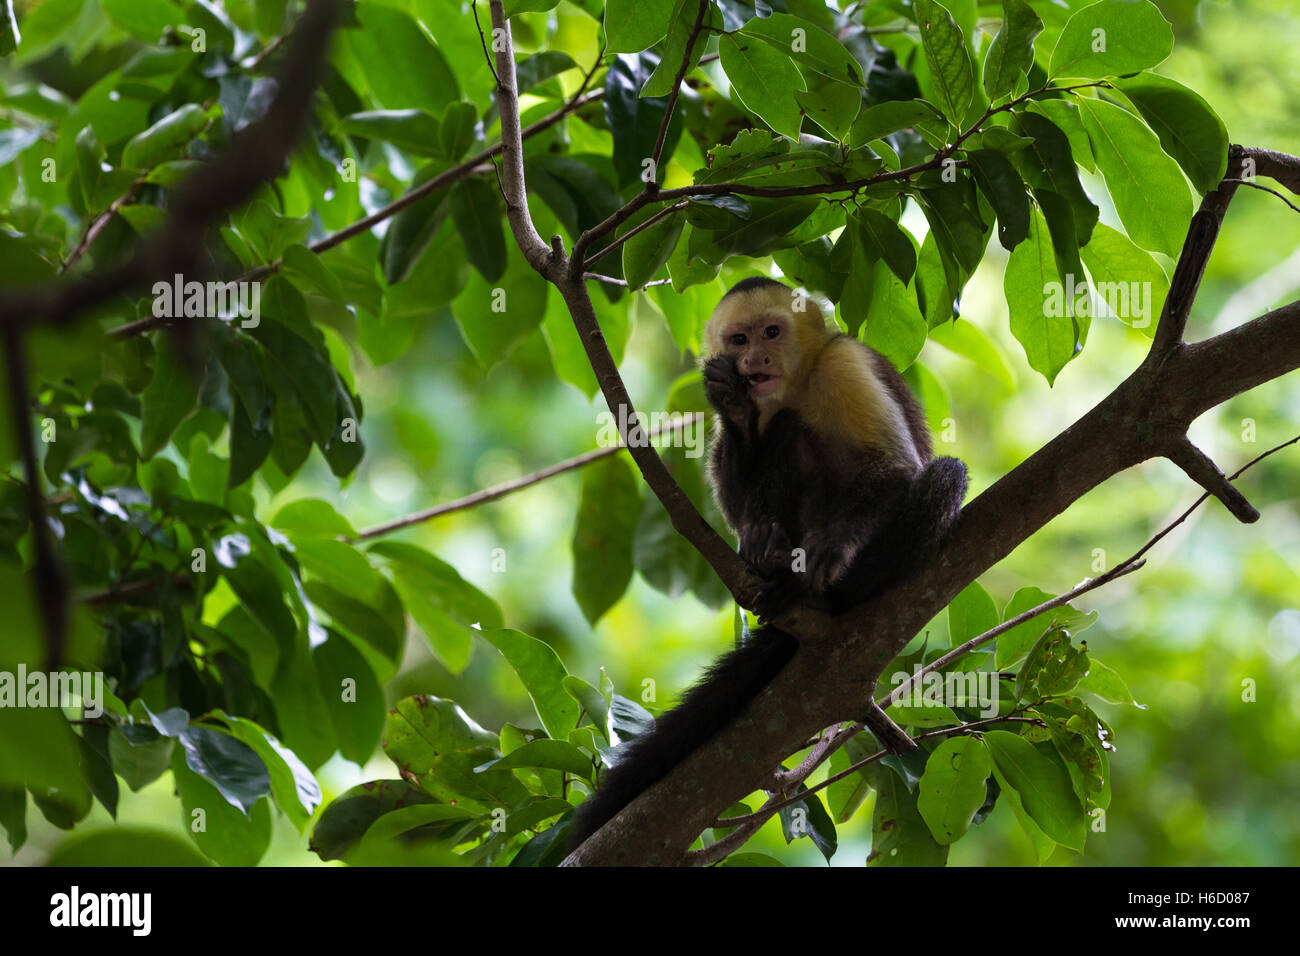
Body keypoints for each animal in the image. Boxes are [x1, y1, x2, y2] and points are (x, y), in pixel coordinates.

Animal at [567, 277, 968, 853]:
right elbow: (734, 490)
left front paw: (830, 547)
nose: (755, 359)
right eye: (739, 340)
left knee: (939, 476)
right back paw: (772, 561)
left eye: (772, 333)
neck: (796, 384)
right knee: (782, 433)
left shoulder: (845, 364)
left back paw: (822, 588)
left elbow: (895, 467)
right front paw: (735, 409)